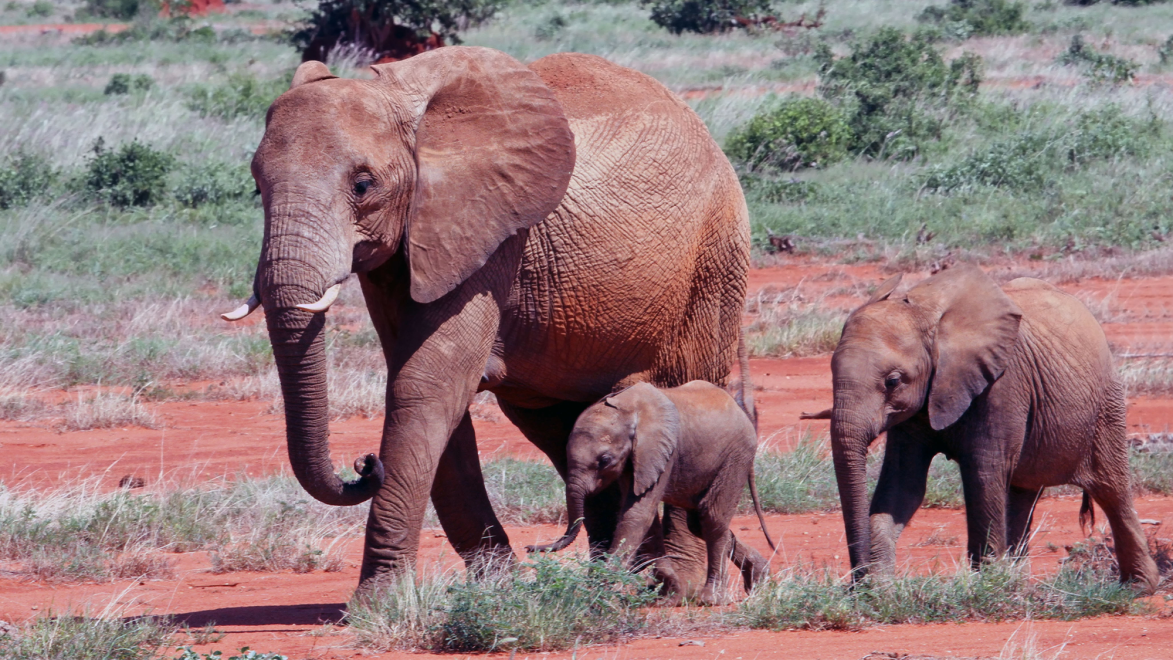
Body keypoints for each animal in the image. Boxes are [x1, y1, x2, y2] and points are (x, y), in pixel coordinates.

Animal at [221, 46, 752, 595]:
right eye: (257, 184)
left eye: (363, 185)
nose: (366, 464)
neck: (401, 101)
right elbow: (427, 389)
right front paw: (498, 588)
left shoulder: (494, 233)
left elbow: (426, 383)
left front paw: (376, 603)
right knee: (560, 425)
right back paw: (619, 579)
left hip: (713, 260)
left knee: (689, 387)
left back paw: (673, 584)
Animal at [526, 381, 776, 605]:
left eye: (604, 460)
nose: (529, 548)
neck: (628, 410)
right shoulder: (634, 460)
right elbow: (642, 515)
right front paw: (668, 593)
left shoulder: (662, 449)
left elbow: (638, 513)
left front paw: (599, 597)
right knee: (699, 523)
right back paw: (759, 579)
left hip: (736, 457)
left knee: (711, 519)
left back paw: (712, 599)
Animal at [818, 263, 1158, 591]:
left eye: (892, 381)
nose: (855, 583)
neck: (926, 314)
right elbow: (904, 485)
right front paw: (880, 589)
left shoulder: (1002, 385)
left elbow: (983, 474)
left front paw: (986, 585)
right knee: (1023, 494)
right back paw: (1018, 582)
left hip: (1107, 406)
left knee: (1112, 490)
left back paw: (1139, 587)